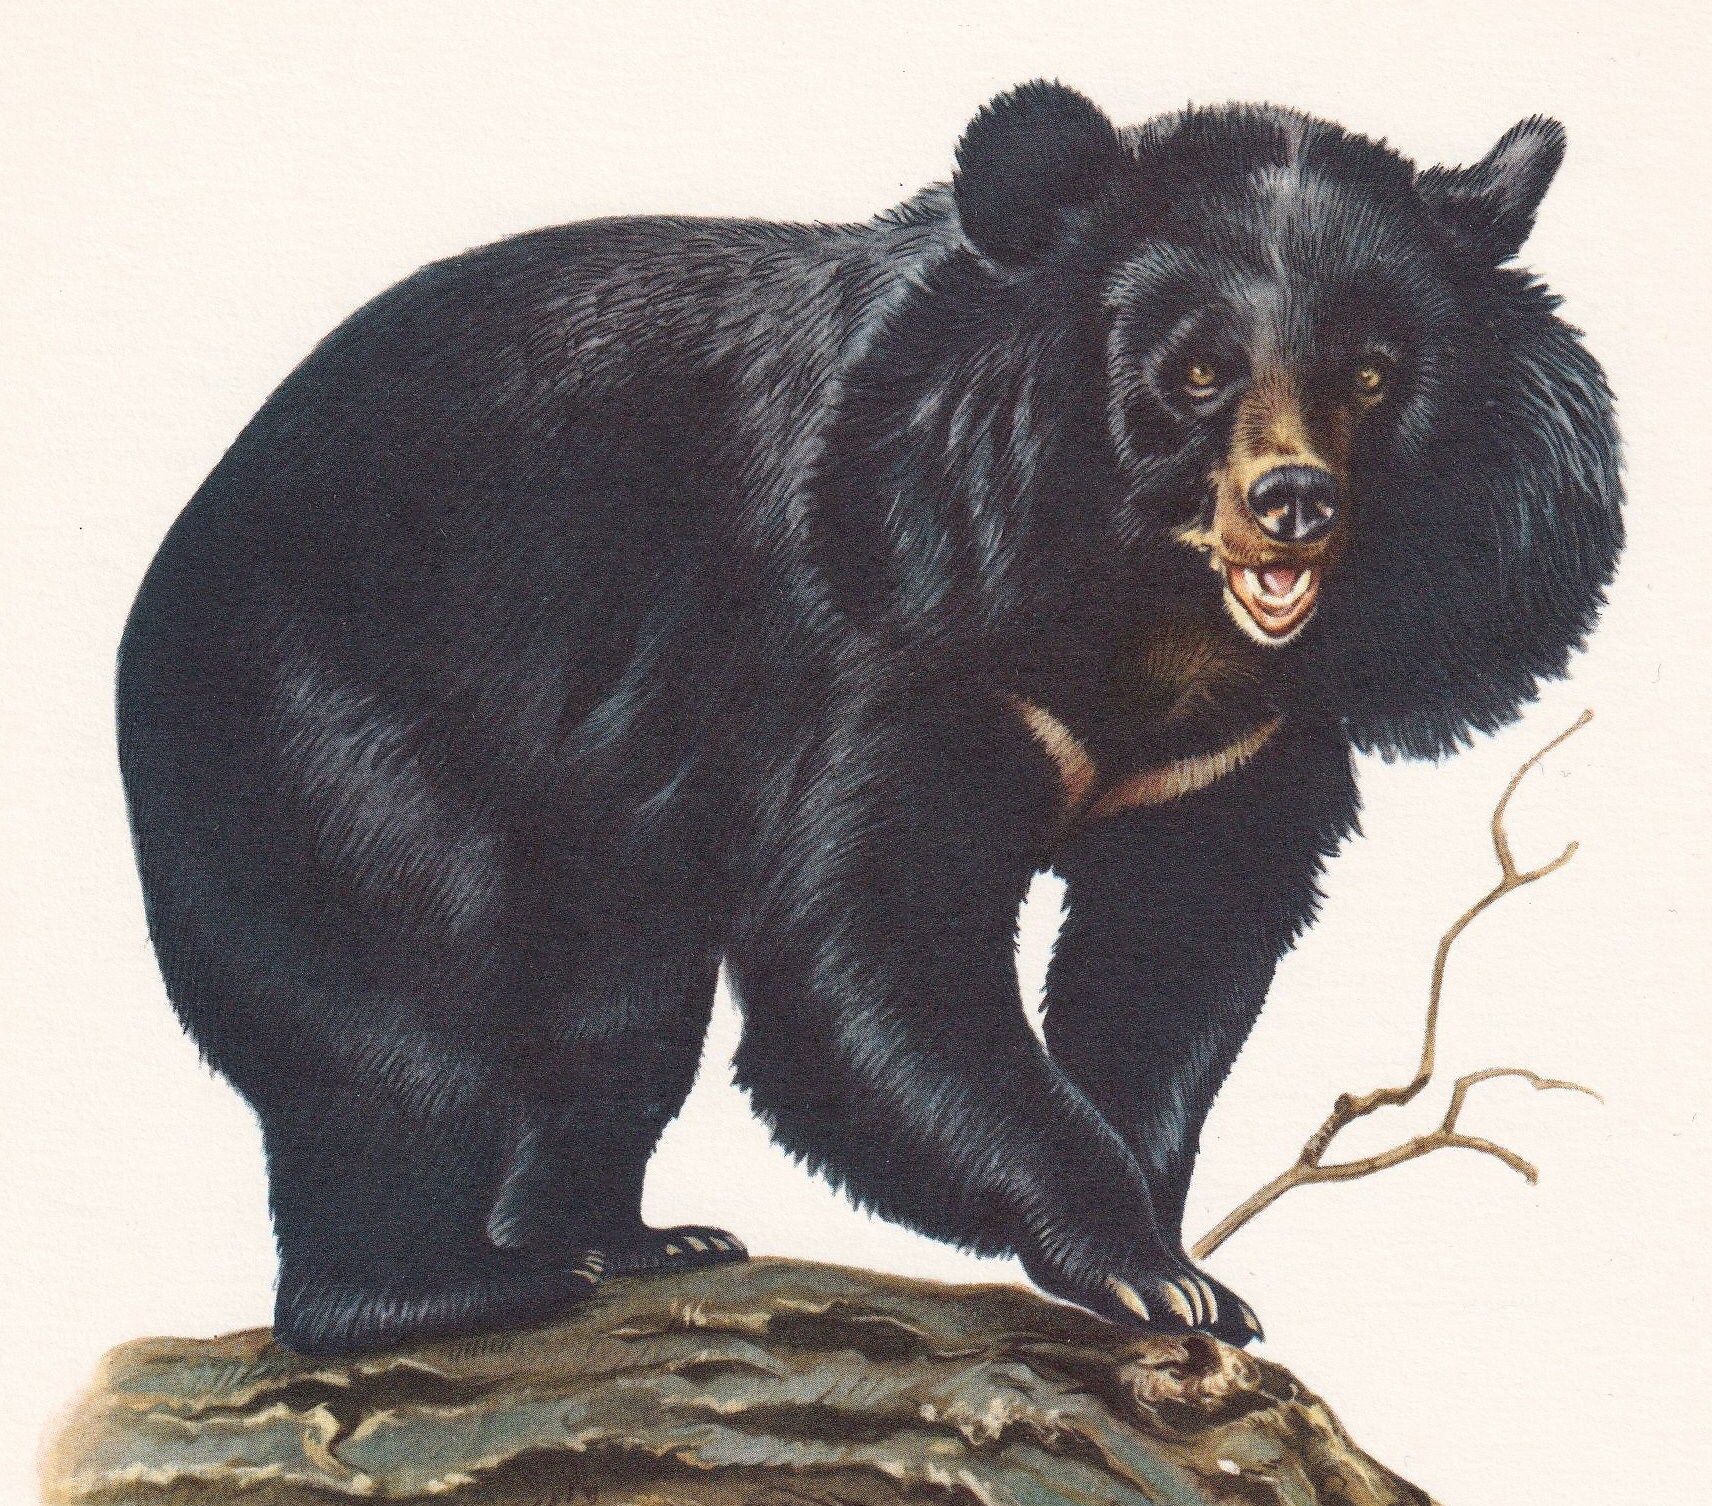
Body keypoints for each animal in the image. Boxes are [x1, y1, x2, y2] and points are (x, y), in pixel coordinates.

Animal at [116, 82, 1622, 1357]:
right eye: (1195, 372)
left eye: (1372, 373)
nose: (1294, 501)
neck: (1151, 606)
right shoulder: (885, 630)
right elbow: (874, 953)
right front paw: (1144, 1265)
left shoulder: (1240, 741)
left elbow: (1171, 955)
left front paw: (1167, 1249)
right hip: (317, 725)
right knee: (396, 1016)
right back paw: (449, 1293)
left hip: (595, 833)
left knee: (614, 1018)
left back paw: (636, 1242)